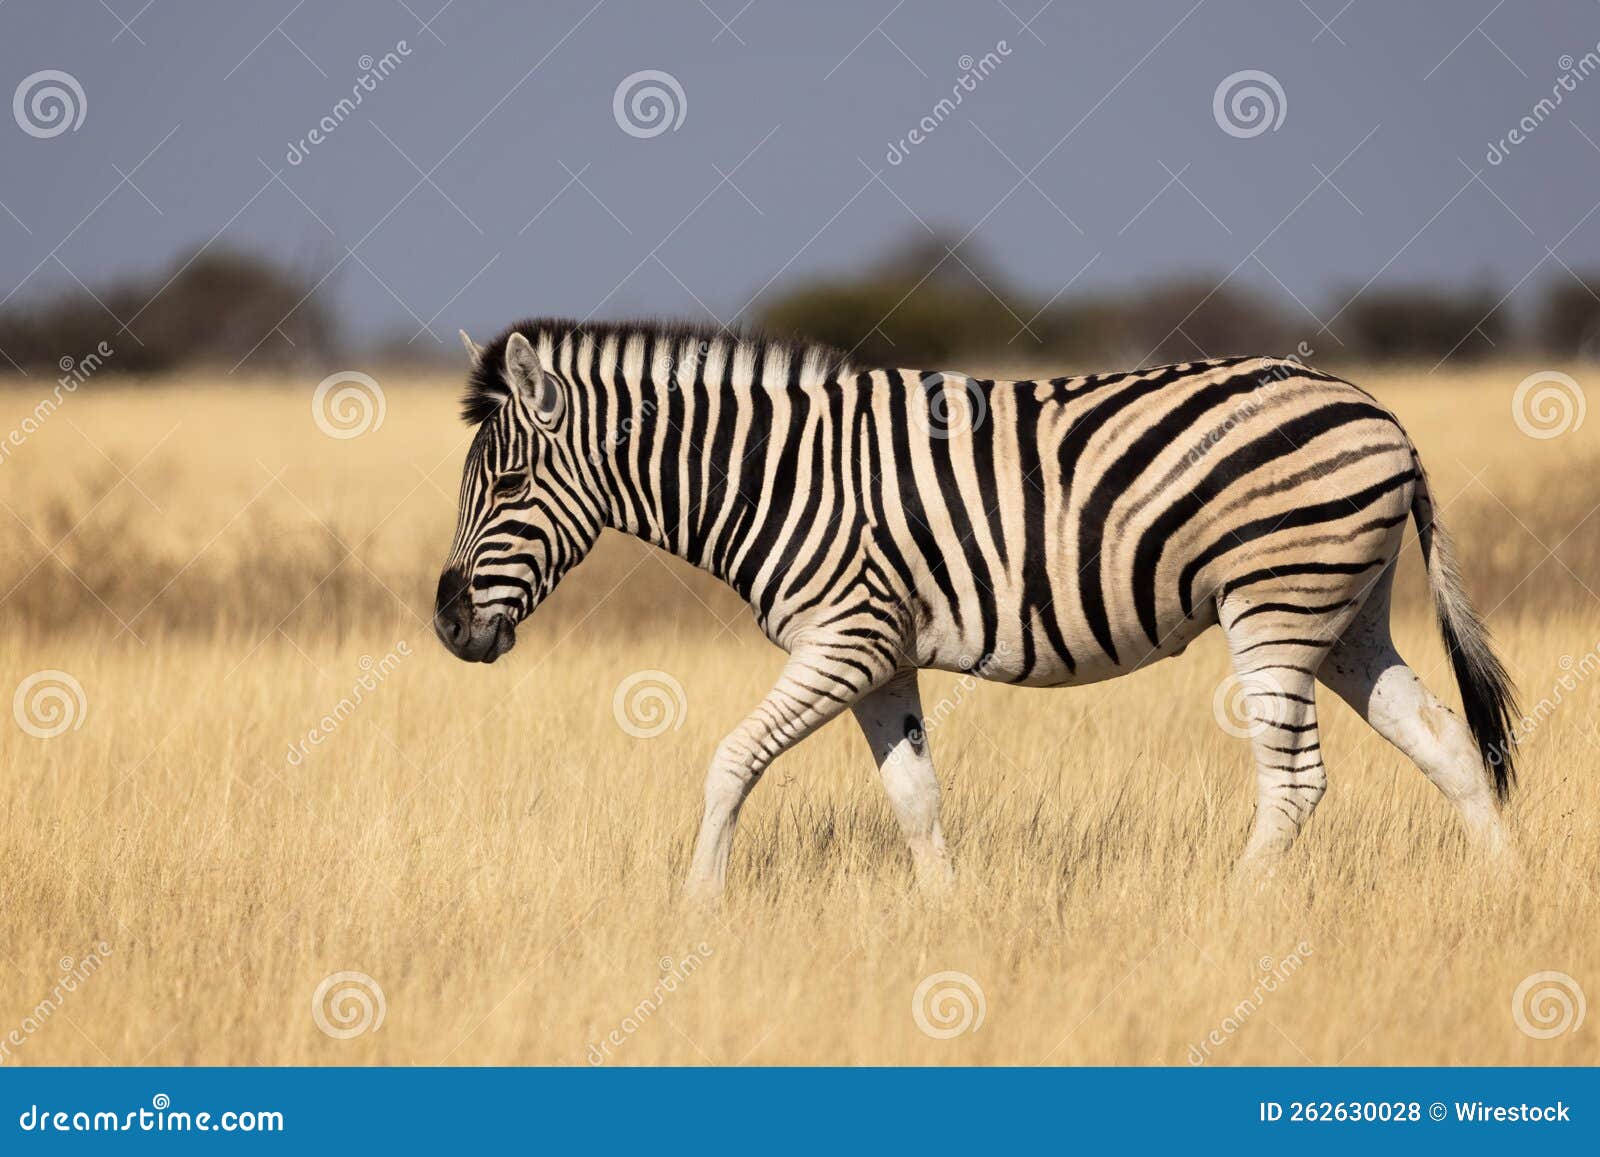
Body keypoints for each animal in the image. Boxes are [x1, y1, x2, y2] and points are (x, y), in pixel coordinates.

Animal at [434, 319, 1517, 900]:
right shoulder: (881, 654)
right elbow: (916, 797)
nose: (446, 626)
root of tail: (1385, 416)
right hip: (1343, 616)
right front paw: (947, 926)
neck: (772, 476)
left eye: (513, 482)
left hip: (1277, 601)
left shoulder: (844, 636)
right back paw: (1500, 896)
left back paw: (1230, 907)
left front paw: (698, 905)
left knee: (1294, 780)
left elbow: (730, 759)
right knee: (1447, 743)